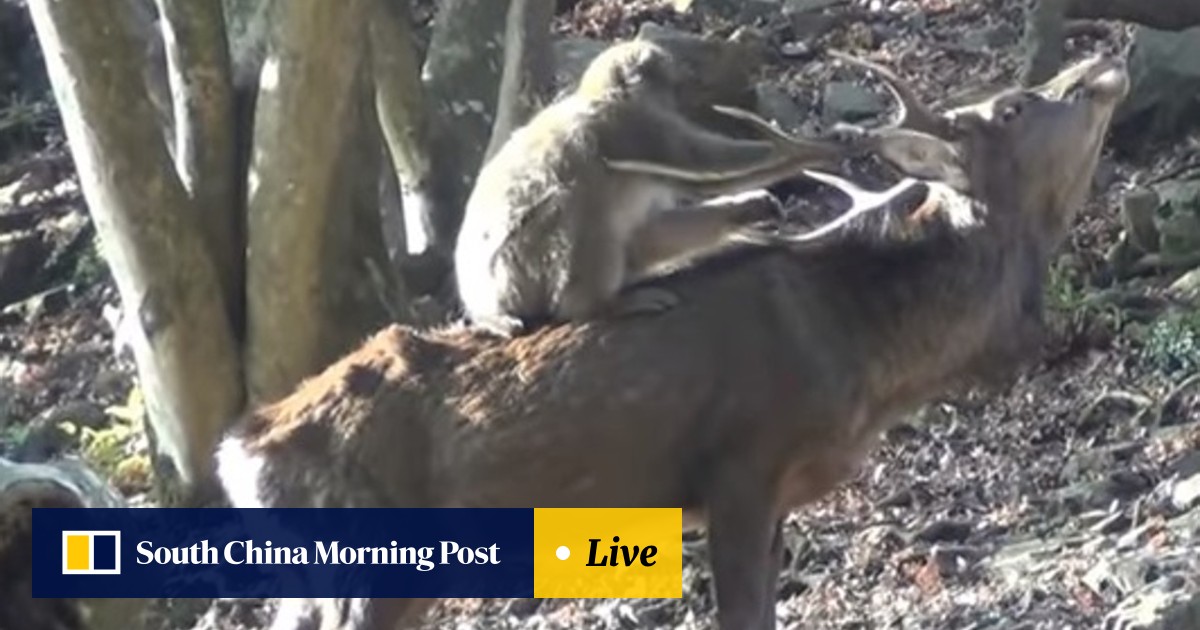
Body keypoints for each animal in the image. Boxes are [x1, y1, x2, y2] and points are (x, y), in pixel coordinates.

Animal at [453, 37, 858, 337]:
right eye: (672, 81)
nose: (682, 94)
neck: (600, 95)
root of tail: (480, 303)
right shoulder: (634, 125)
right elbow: (700, 161)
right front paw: (808, 151)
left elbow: (655, 222)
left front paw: (750, 206)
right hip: (518, 270)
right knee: (577, 206)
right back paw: (596, 306)